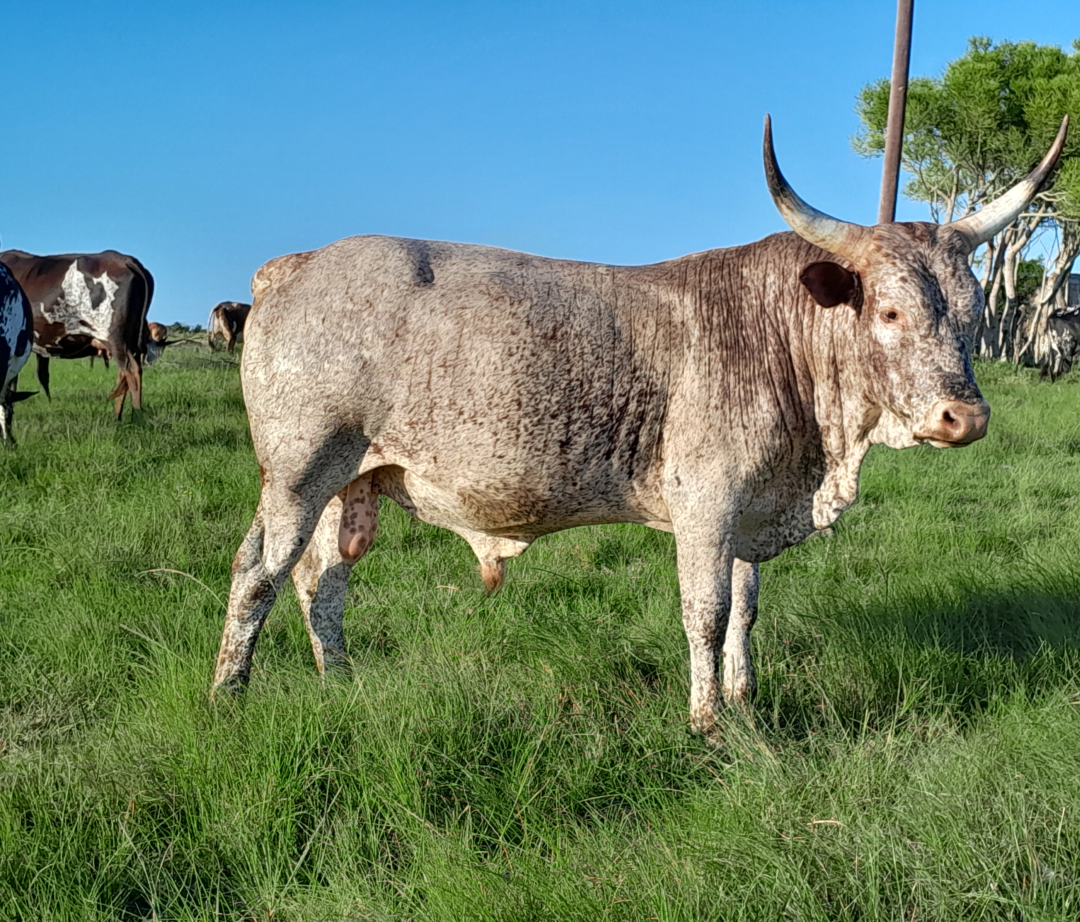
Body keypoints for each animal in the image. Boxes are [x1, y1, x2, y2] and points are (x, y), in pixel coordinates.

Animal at [0, 250, 154, 420]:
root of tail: (125, 260)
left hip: (114, 337)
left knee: (132, 371)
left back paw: (137, 416)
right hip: (130, 339)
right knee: (124, 374)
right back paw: (116, 417)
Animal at [211, 116, 1067, 737]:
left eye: (973, 310)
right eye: (889, 311)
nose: (966, 416)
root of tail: (295, 265)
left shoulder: (748, 509)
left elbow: (745, 609)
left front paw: (746, 705)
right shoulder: (705, 505)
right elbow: (706, 612)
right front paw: (707, 726)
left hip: (350, 483)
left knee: (322, 581)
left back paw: (341, 685)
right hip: (298, 473)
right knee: (258, 572)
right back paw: (229, 697)